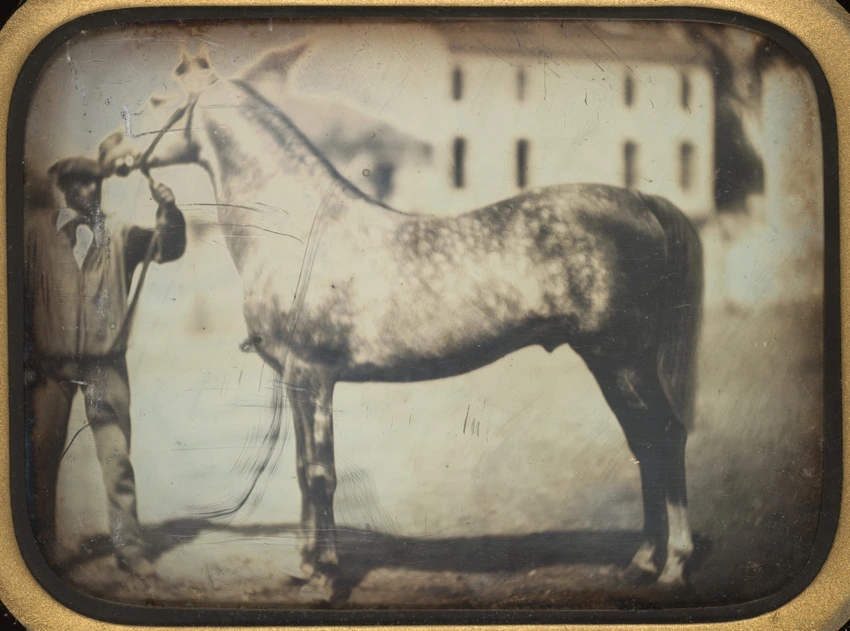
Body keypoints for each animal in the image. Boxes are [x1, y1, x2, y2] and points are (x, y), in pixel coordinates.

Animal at [98, 42, 704, 600]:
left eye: (158, 100)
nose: (105, 151)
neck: (301, 230)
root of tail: (641, 201)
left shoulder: (314, 374)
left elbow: (321, 474)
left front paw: (325, 579)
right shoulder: (294, 379)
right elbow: (301, 468)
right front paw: (304, 568)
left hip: (621, 357)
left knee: (665, 436)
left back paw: (674, 564)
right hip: (609, 360)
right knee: (644, 442)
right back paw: (642, 562)